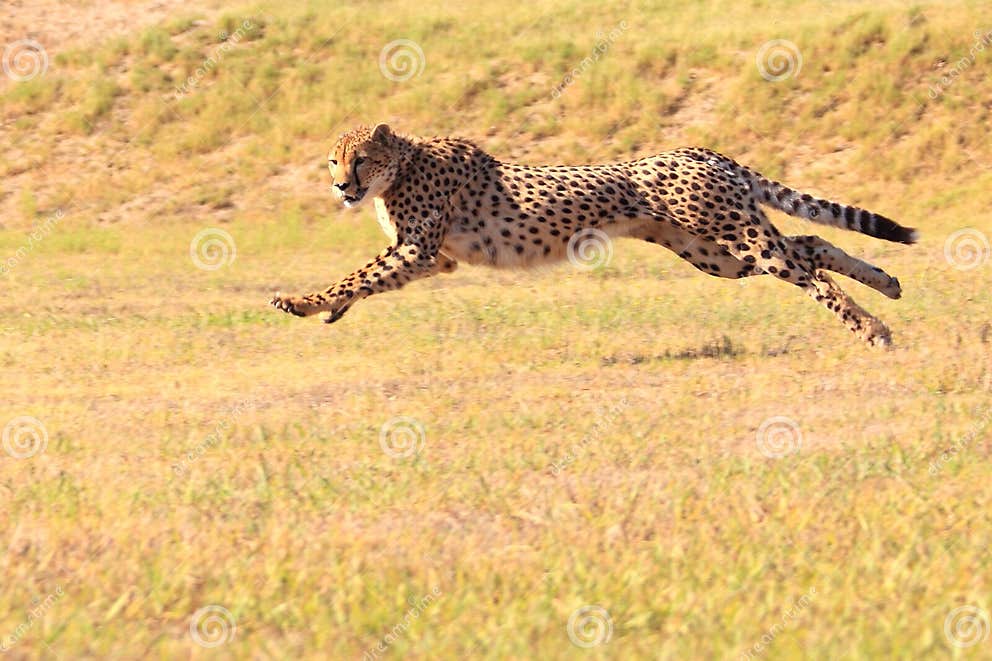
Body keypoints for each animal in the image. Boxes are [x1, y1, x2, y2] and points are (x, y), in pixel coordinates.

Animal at [271, 123, 917, 347]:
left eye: (358, 158)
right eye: (333, 160)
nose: (341, 187)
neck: (401, 164)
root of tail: (701, 149)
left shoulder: (418, 248)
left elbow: (356, 274)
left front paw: (303, 302)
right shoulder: (433, 259)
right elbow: (366, 278)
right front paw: (330, 311)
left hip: (732, 237)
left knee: (806, 270)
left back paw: (874, 328)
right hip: (715, 252)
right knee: (808, 247)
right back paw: (887, 284)